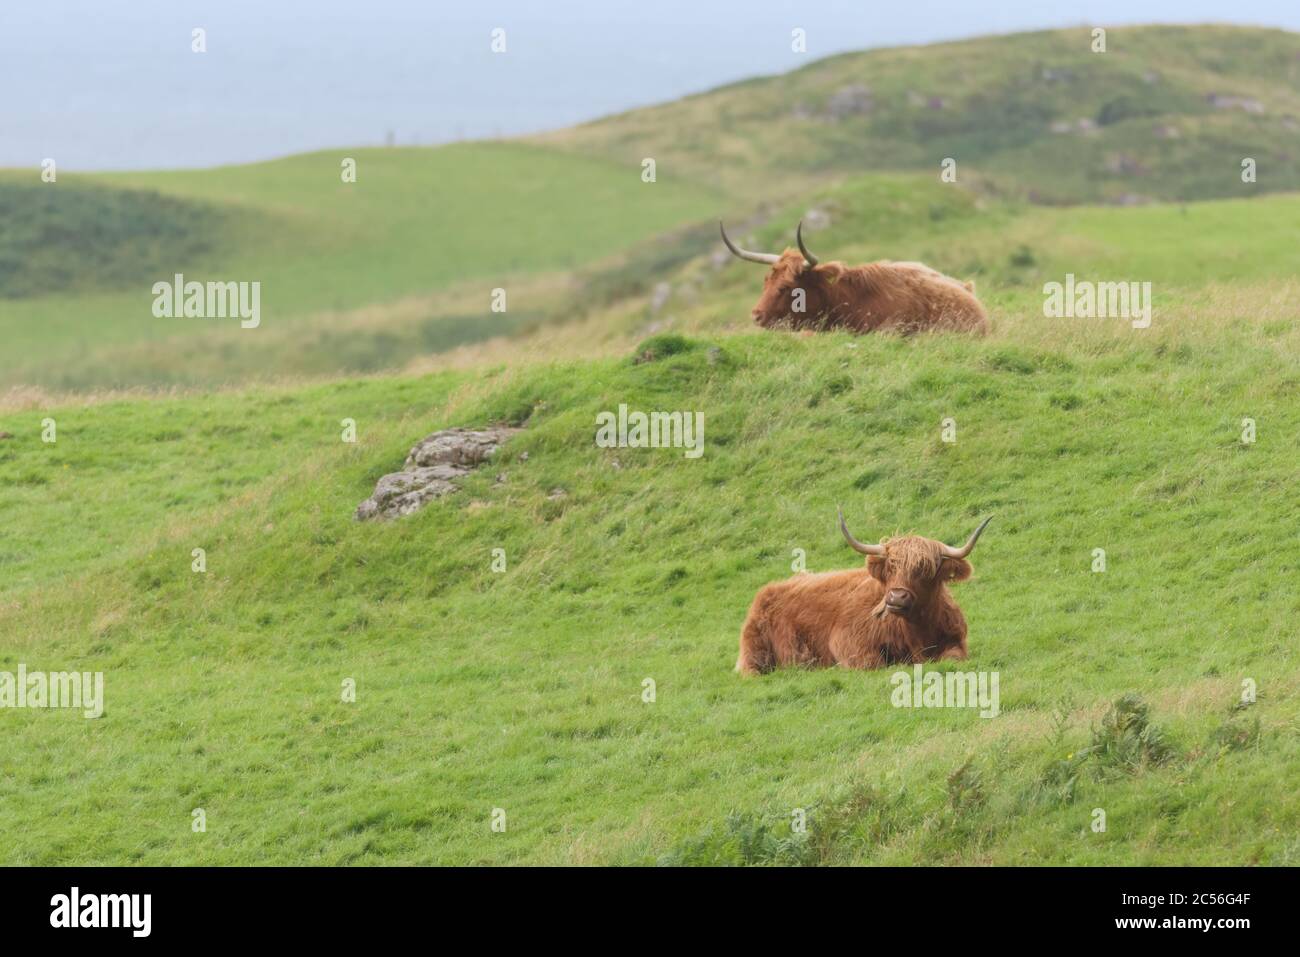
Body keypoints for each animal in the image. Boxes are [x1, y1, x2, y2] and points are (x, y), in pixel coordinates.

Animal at [735, 509, 991, 674]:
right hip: (755, 652)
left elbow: (954, 657)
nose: (896, 597)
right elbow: (873, 664)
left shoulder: (957, 641)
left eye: (925, 569)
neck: (918, 633)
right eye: (890, 567)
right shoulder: (847, 642)